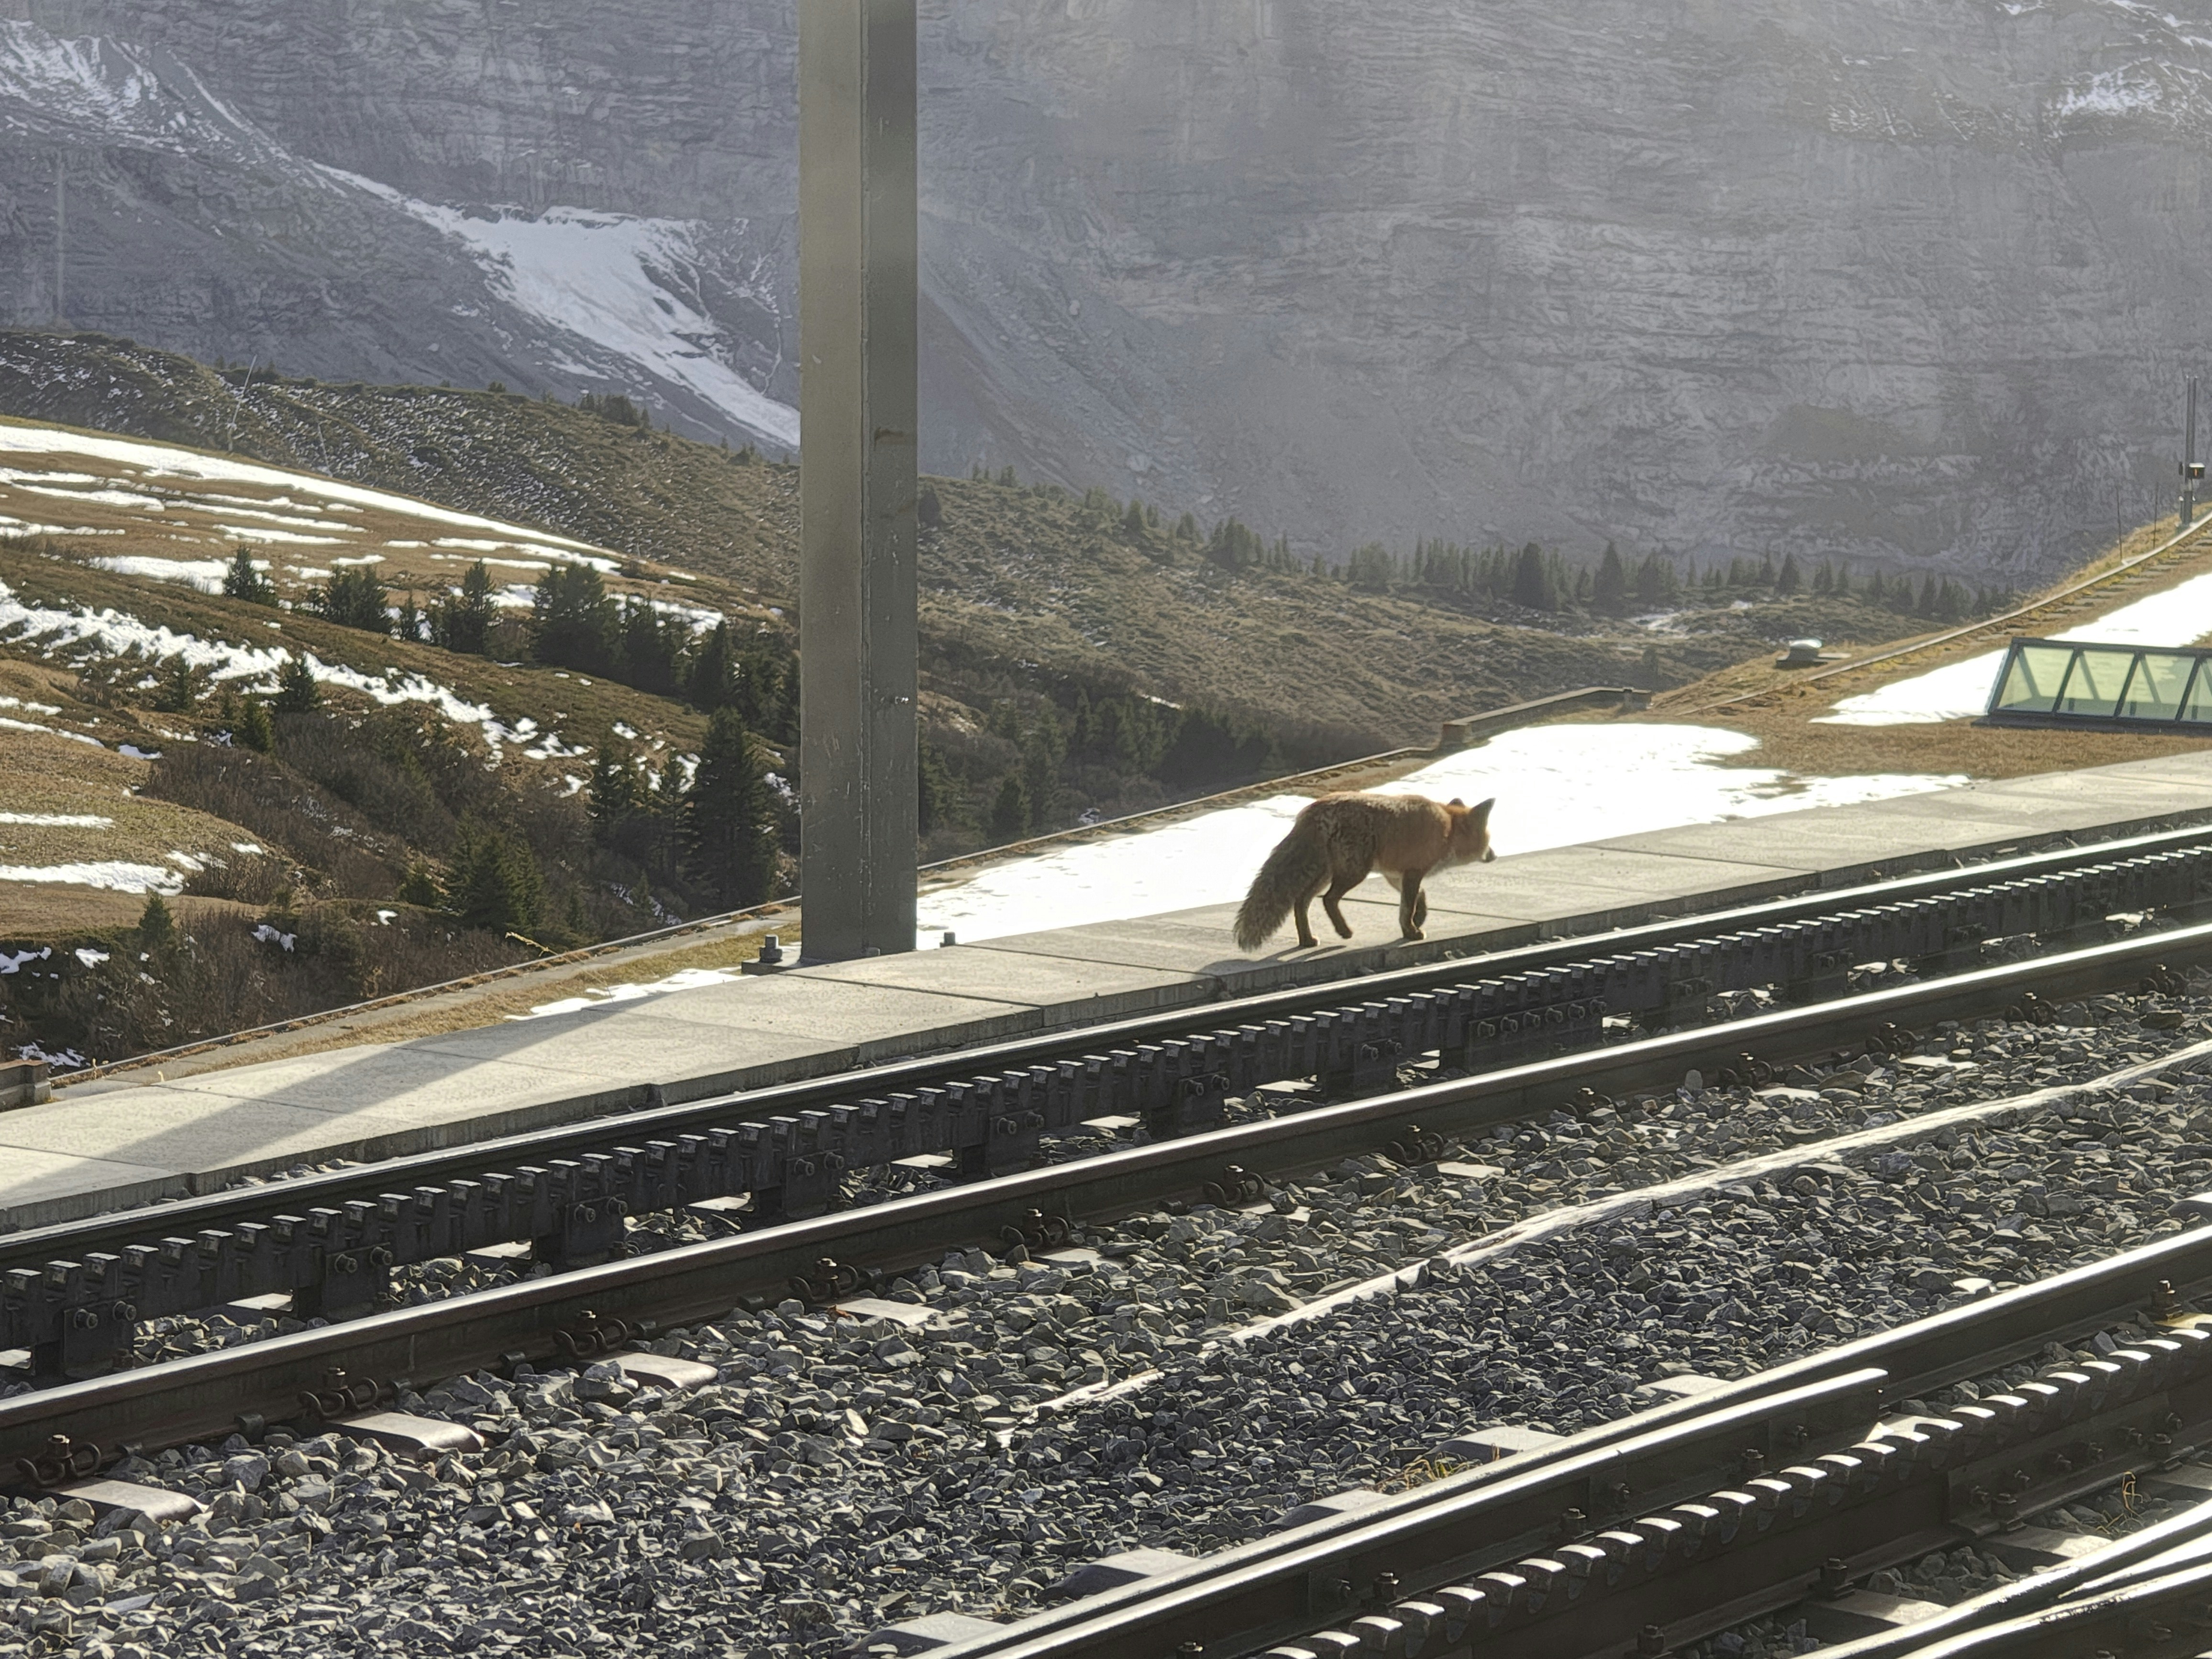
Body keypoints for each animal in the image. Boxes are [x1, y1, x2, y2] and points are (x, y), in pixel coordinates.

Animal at [1233, 792, 1497, 953]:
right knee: (1329, 900)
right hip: (1355, 872)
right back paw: (1343, 932)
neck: (1447, 830)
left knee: (1301, 903)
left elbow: (1416, 900)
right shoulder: (1412, 871)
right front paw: (1411, 932)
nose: (1494, 856)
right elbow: (1408, 906)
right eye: (1489, 840)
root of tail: (1315, 809)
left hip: (1326, 875)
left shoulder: (1396, 875)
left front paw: (1418, 920)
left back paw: (1308, 940)